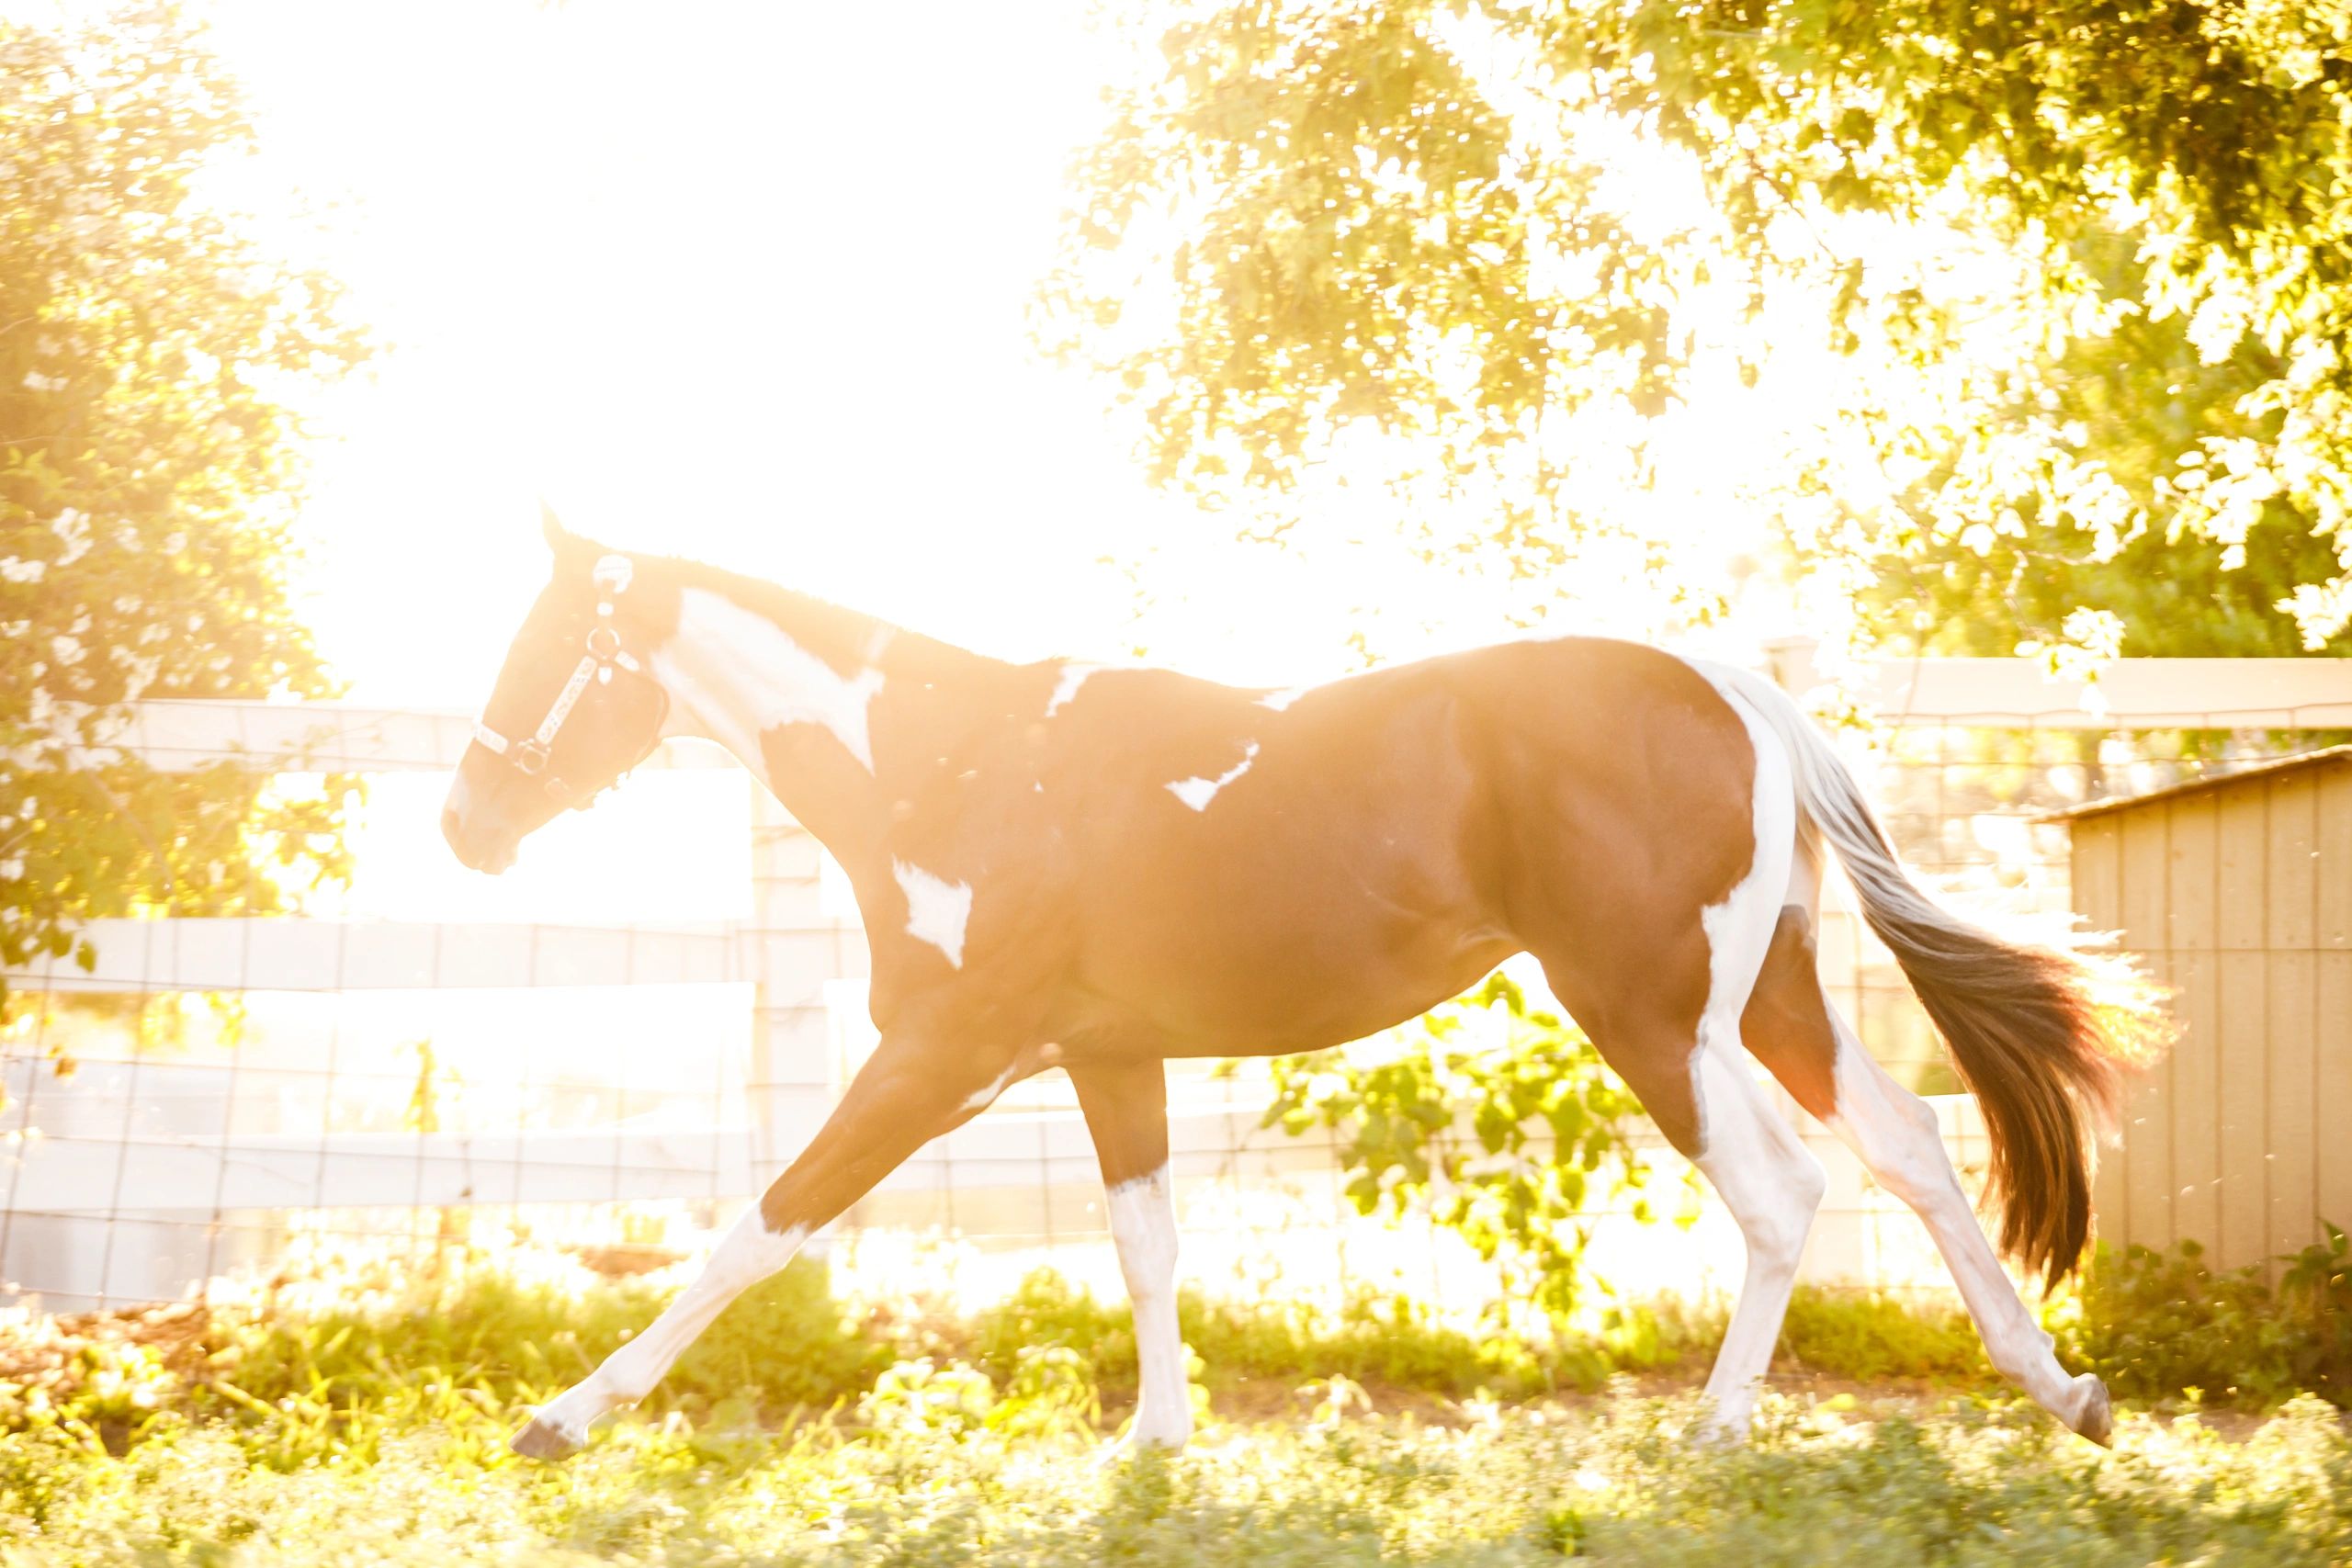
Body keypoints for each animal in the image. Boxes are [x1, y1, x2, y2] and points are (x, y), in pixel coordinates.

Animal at [441, 513, 2163, 1460]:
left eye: (541, 648)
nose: (464, 825)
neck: (954, 768)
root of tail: (1739, 690)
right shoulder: (1104, 1059)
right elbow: (1146, 1245)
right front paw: (1154, 1443)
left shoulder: (940, 1055)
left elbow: (758, 1227)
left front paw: (560, 1419)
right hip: (1769, 997)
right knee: (1913, 1150)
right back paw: (2063, 1390)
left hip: (1649, 1011)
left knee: (1785, 1189)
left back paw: (1721, 1430)